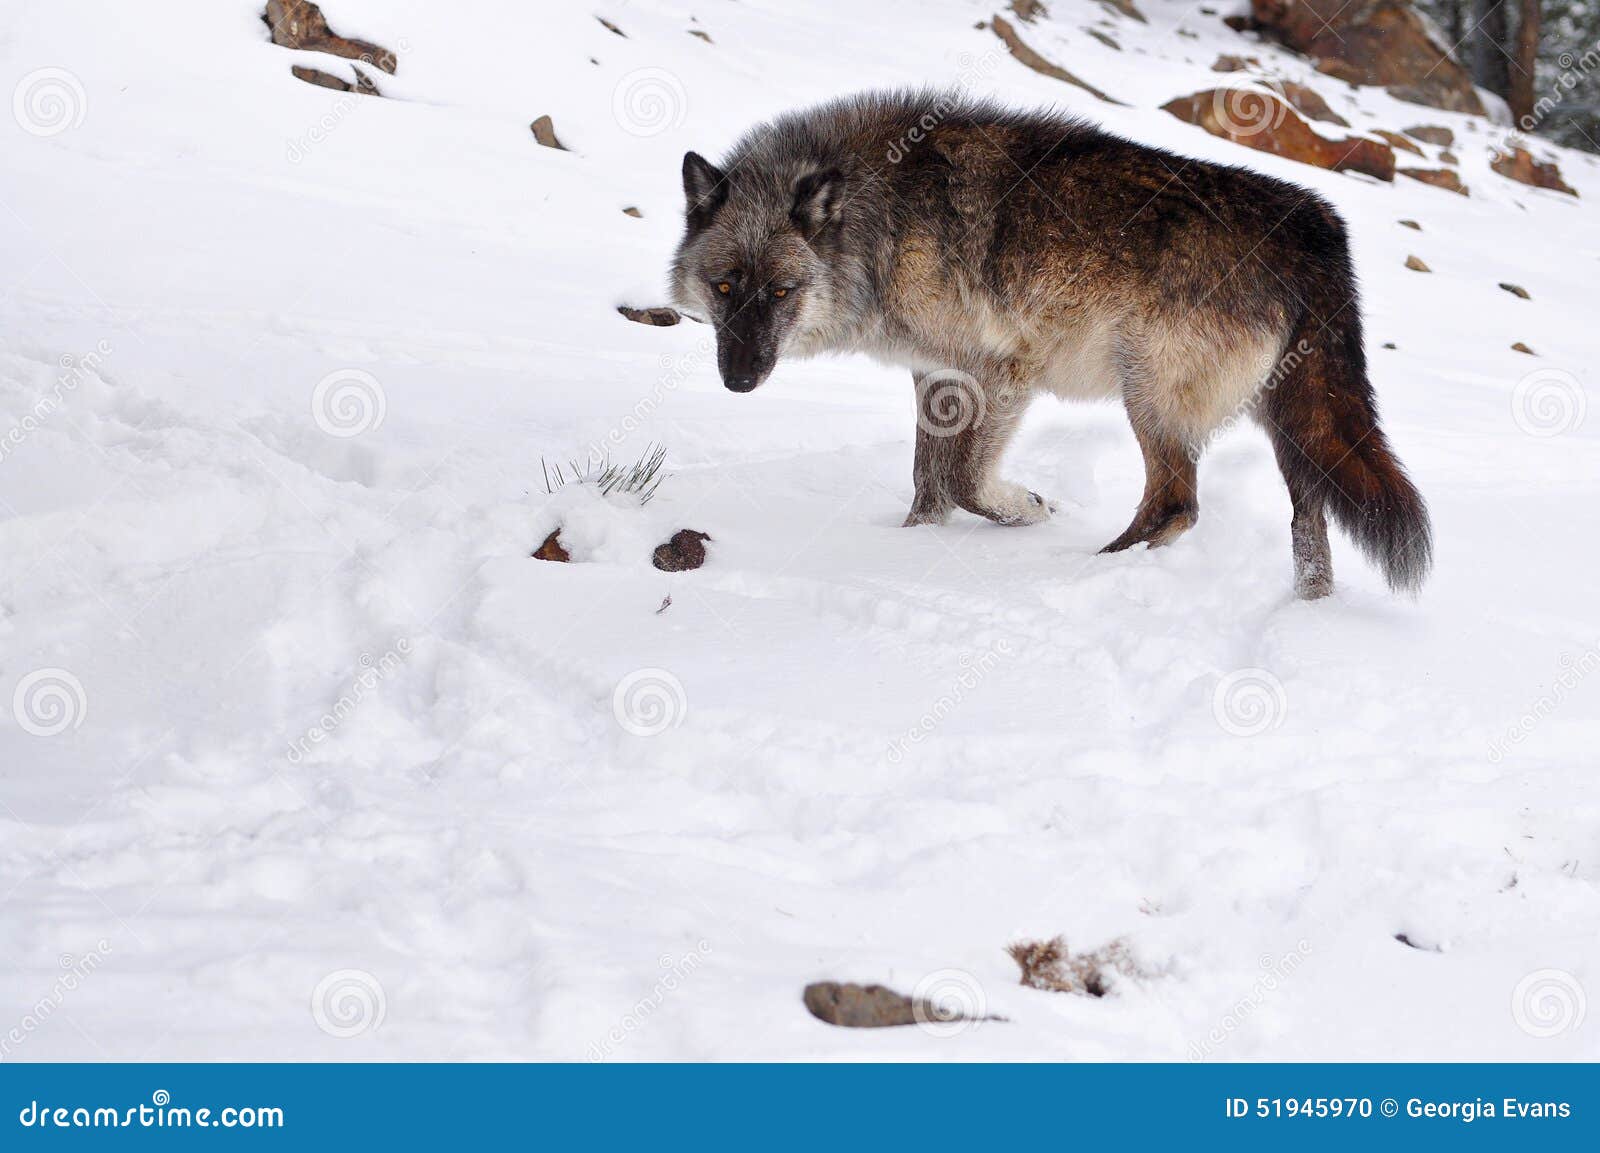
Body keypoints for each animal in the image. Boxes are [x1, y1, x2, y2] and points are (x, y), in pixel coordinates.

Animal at [669, 90, 1432, 598]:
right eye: (726, 285)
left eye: (780, 292)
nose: (739, 380)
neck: (880, 222)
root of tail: (1315, 224)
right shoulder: (934, 375)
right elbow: (928, 486)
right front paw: (912, 544)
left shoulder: (1000, 371)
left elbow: (966, 481)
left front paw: (1027, 510)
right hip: (1289, 425)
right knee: (1306, 522)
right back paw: (1307, 610)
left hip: (1148, 391)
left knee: (1175, 503)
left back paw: (1089, 569)